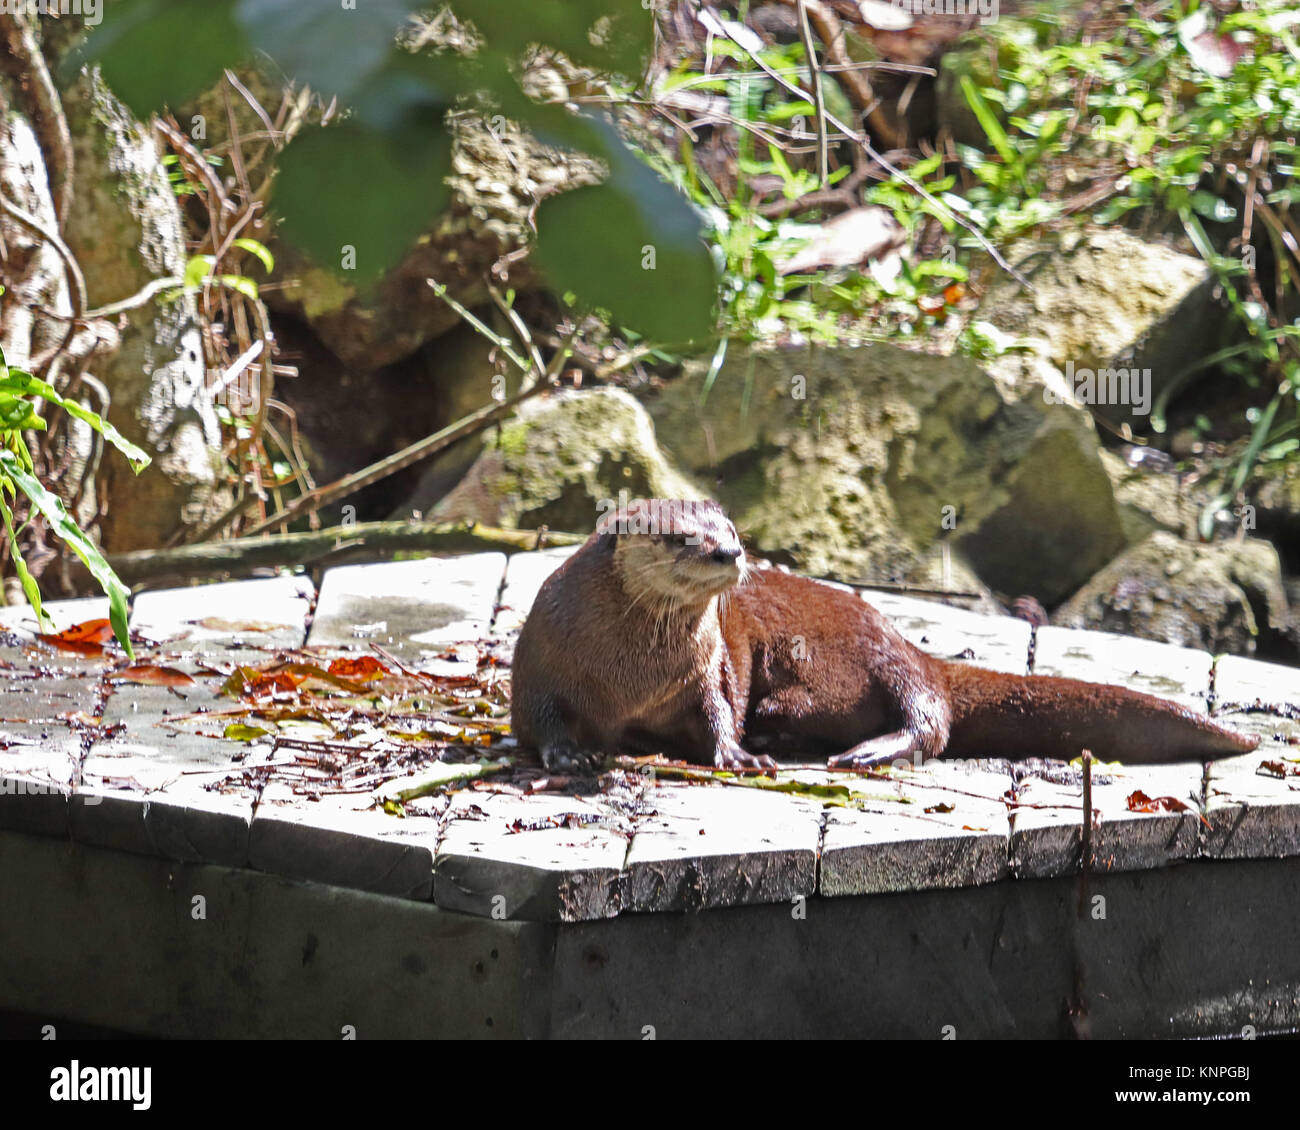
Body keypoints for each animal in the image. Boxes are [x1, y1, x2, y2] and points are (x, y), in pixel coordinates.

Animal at [510, 499, 1260, 773]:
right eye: (678, 537)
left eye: (730, 527)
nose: (730, 553)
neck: (629, 678)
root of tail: (910, 643)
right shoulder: (543, 655)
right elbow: (541, 717)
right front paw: (569, 754)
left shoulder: (707, 668)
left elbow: (719, 708)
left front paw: (737, 754)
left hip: (881, 654)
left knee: (930, 720)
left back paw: (854, 749)